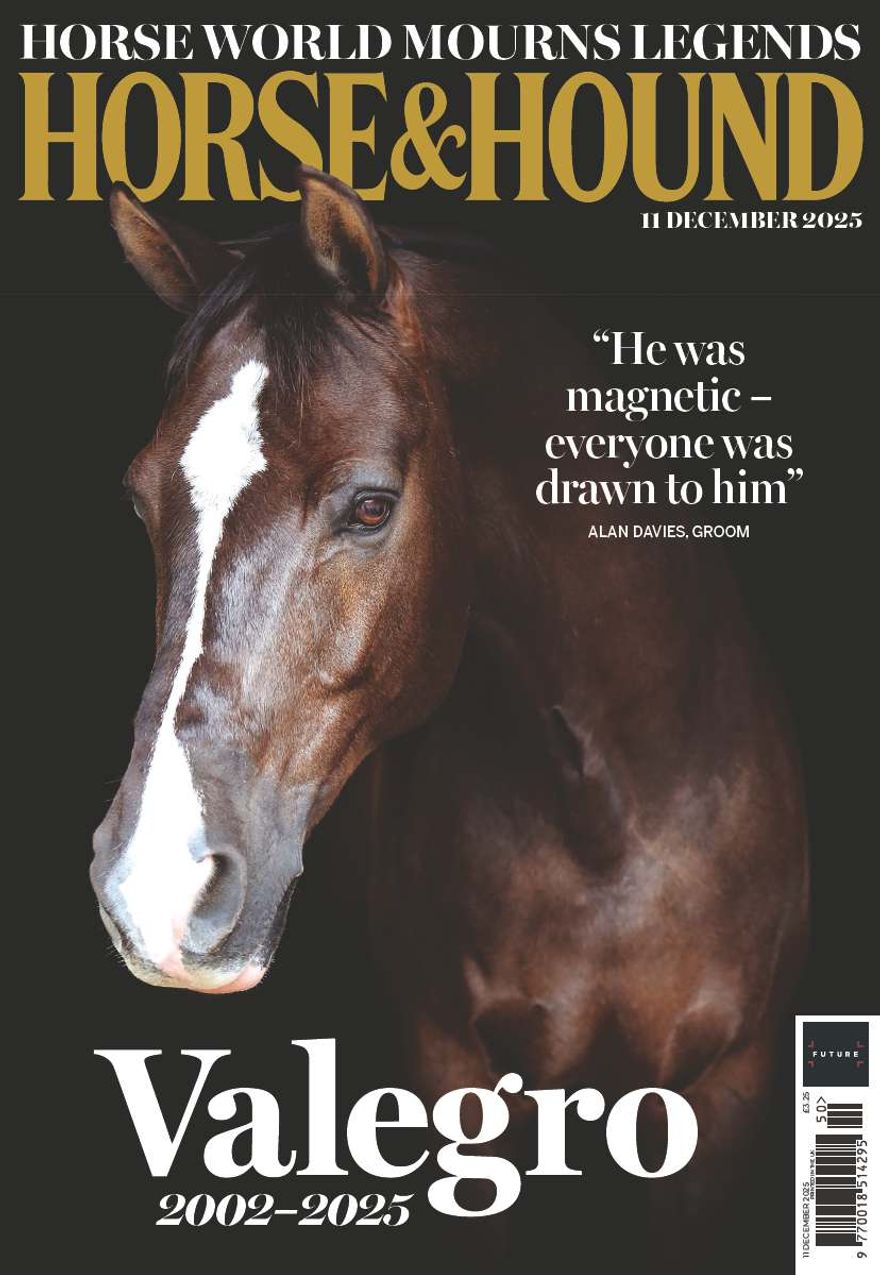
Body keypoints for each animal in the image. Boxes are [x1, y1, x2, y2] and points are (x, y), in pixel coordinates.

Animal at [90, 166, 808, 1257]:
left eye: (371, 505)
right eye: (141, 501)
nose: (154, 886)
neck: (609, 822)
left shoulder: (726, 1089)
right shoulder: (453, 1082)